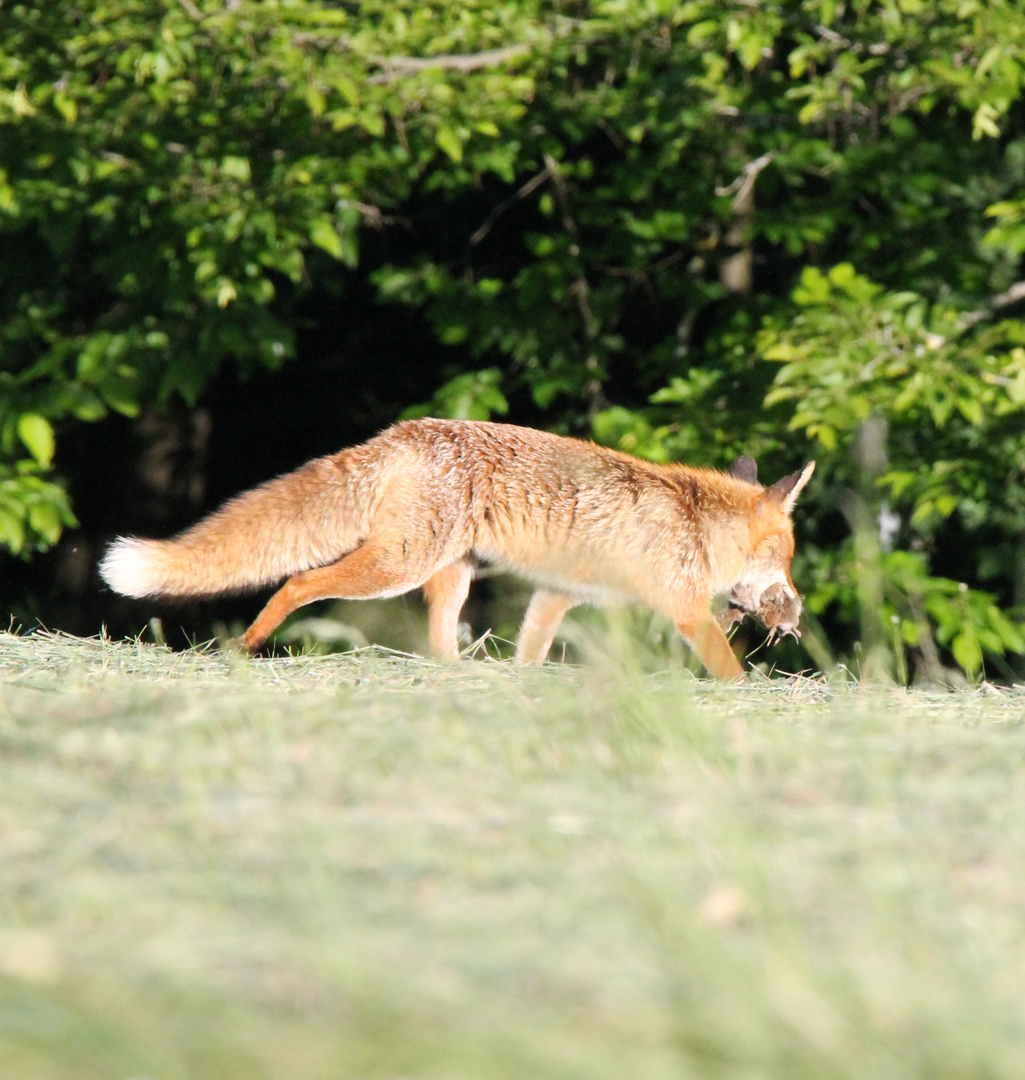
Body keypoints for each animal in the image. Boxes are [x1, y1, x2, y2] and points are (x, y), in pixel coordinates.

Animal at [99, 416, 812, 678]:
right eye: (786, 559)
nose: (794, 606)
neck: (698, 523)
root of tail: (404, 430)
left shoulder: (558, 595)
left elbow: (531, 650)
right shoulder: (683, 606)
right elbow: (728, 667)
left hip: (452, 573)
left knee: (439, 642)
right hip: (398, 564)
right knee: (298, 583)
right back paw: (248, 645)